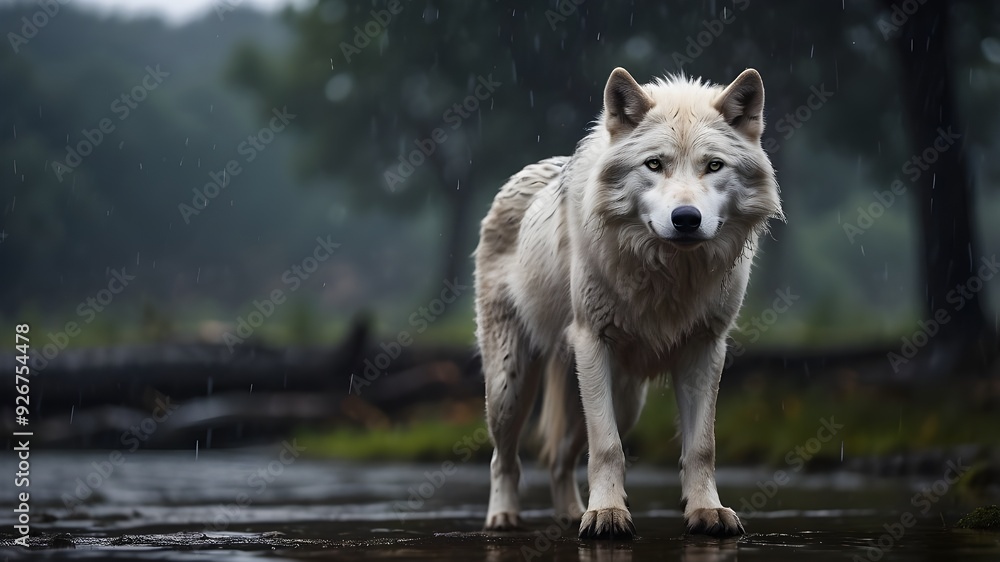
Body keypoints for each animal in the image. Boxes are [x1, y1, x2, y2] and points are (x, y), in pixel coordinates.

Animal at [473, 67, 783, 538]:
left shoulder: (706, 348)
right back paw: (504, 517)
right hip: (512, 386)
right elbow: (607, 447)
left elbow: (702, 446)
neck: (667, 272)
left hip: (624, 399)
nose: (686, 218)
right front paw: (607, 514)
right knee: (503, 458)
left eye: (713, 165)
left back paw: (569, 513)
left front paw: (706, 511)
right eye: (654, 164)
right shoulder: (592, 341)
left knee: (559, 458)